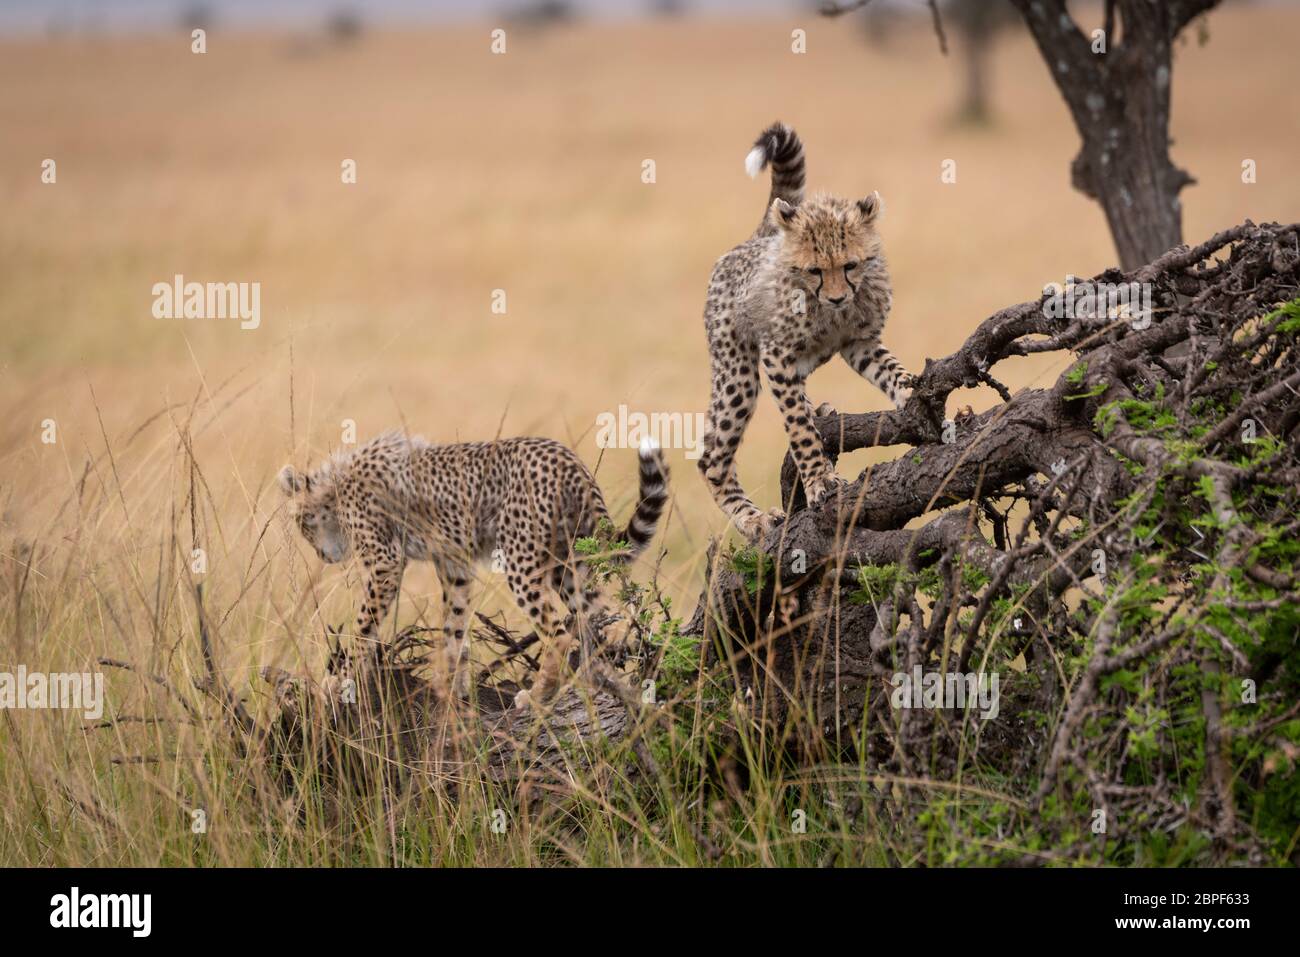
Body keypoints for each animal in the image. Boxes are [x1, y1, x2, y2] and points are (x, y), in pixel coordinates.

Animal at [278, 430, 669, 710]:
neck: (337, 486)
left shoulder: (385, 562)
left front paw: (340, 682)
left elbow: (363, 627)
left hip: (521, 560)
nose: (323, 555)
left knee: (558, 632)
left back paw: (538, 696)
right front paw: (452, 688)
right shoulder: (453, 563)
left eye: (302, 524)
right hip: (568, 564)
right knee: (600, 618)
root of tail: (567, 458)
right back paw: (604, 681)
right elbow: (454, 626)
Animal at [697, 121, 915, 541]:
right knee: (711, 457)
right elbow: (797, 425)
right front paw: (818, 479)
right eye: (815, 270)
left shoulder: (859, 342)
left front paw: (916, 394)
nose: (836, 298)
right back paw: (753, 519)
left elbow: (891, 370)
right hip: (738, 374)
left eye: (850, 265)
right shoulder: (777, 355)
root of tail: (756, 241)